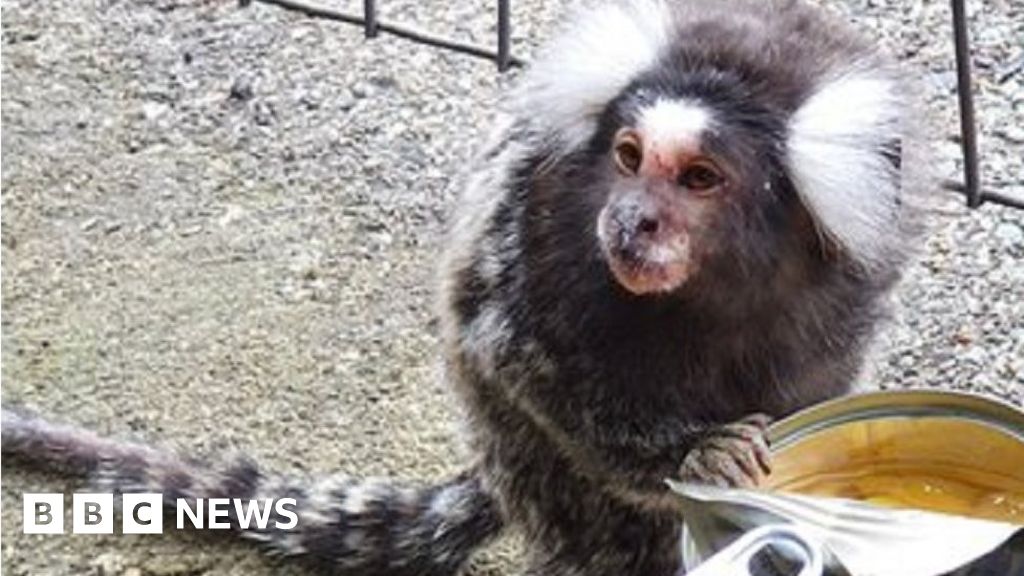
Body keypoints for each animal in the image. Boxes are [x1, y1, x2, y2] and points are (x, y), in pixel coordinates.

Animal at [1, 0, 927, 575]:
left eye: (700, 178)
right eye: (628, 157)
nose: (632, 222)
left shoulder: (842, 298)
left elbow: (819, 392)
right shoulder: (536, 233)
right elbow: (530, 364)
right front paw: (695, 453)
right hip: (527, 465)